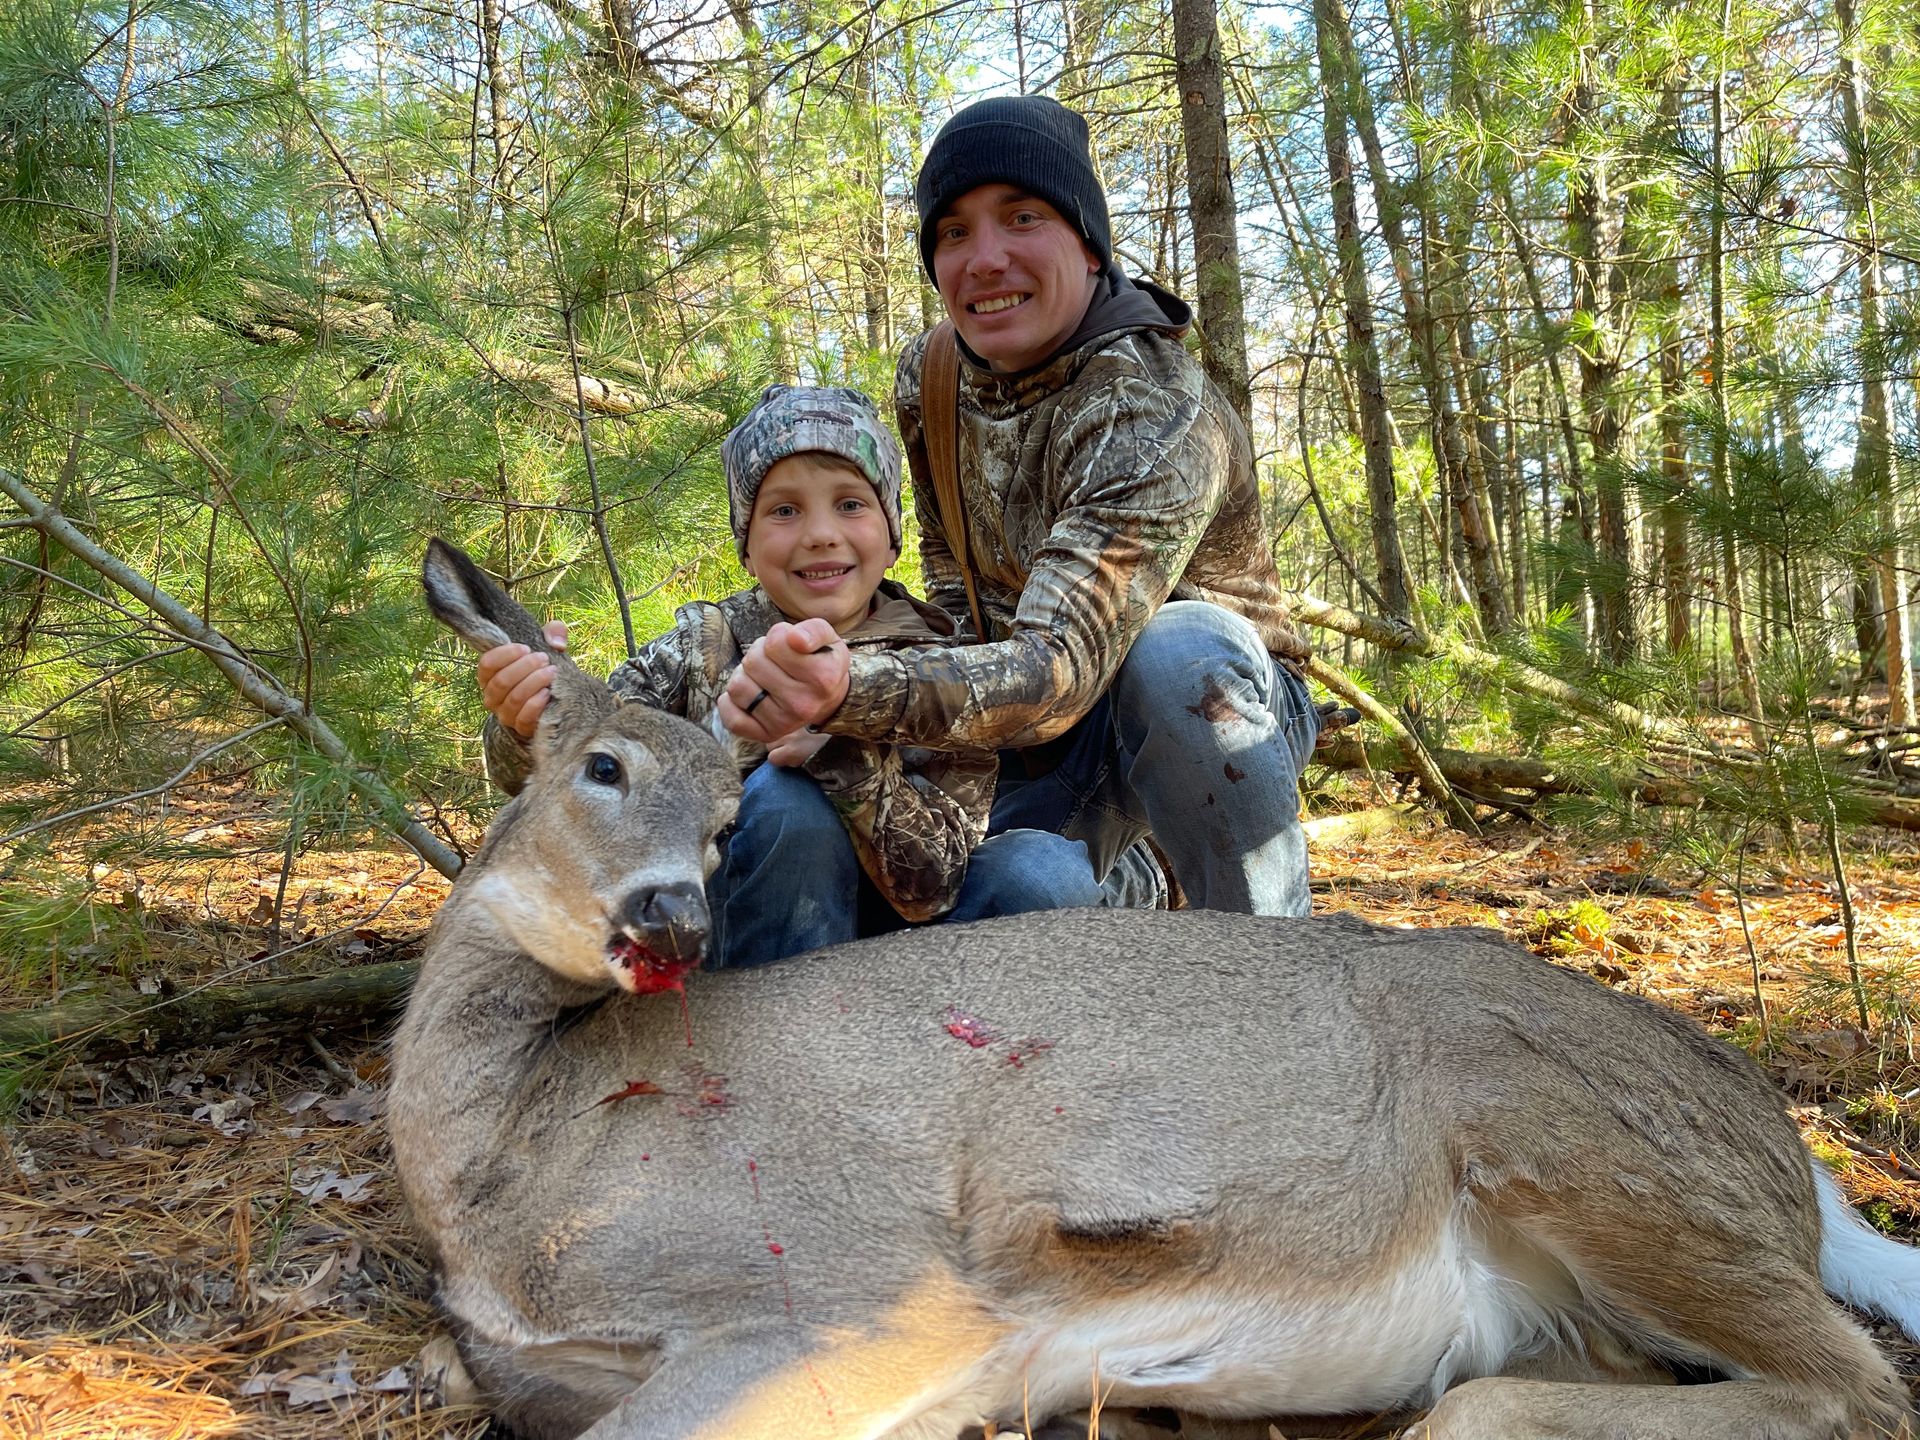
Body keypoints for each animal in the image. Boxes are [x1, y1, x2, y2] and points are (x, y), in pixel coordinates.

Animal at [392, 537, 1920, 1440]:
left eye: (723, 824)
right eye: (602, 768)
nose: (674, 916)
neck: (511, 1161)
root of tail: (1789, 1140)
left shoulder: (851, 1288)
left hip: (1574, 1136)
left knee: (1852, 1389)